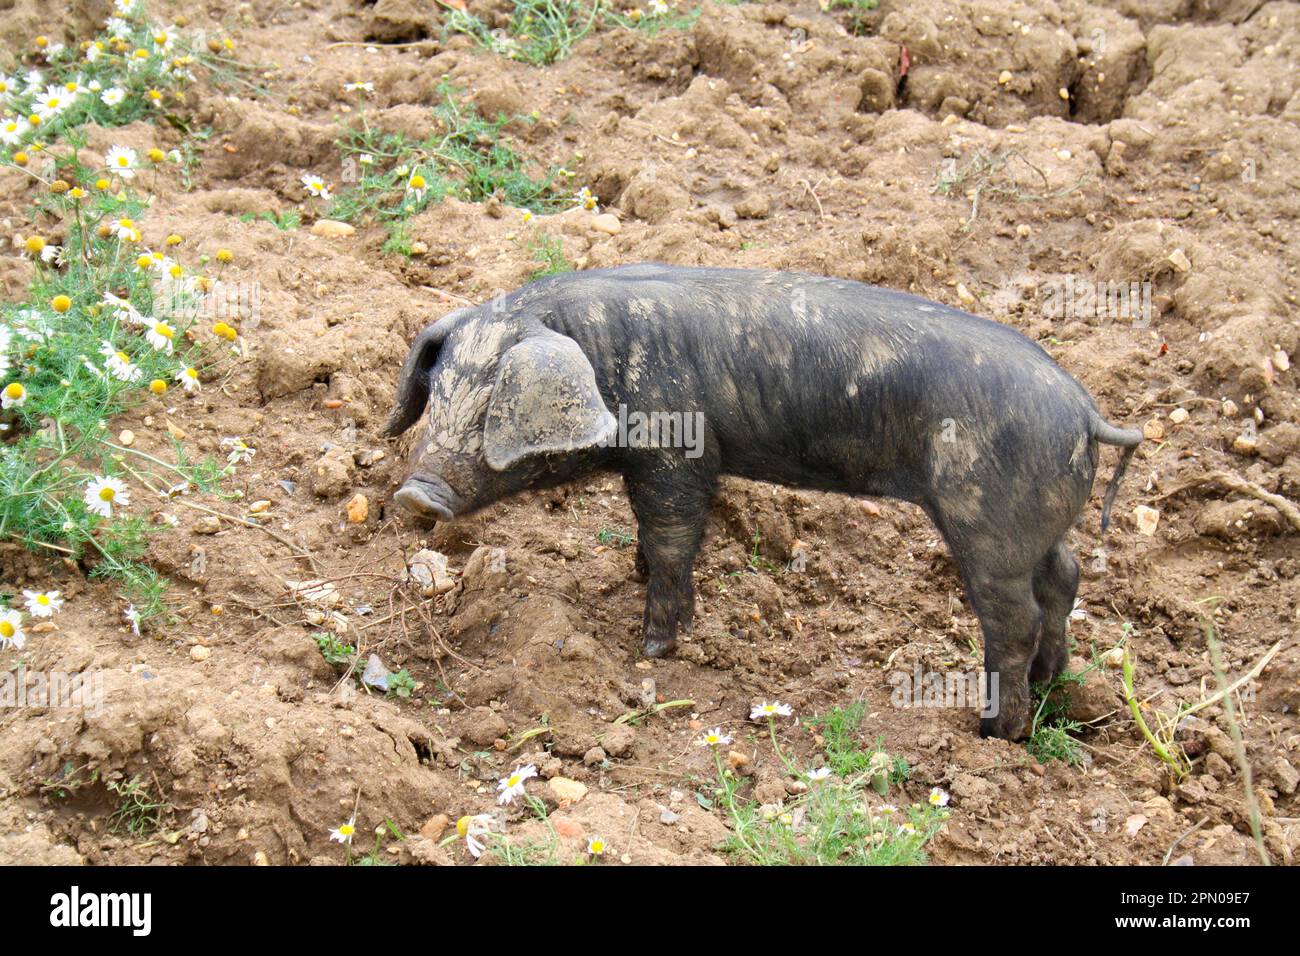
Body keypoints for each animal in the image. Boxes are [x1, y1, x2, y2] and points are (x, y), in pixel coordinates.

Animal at [383, 264, 1141, 740]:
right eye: (438, 396)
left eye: (496, 412)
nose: (416, 495)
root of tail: (1086, 414)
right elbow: (651, 536)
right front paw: (632, 581)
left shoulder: (678, 450)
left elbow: (672, 534)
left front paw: (652, 647)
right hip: (1040, 523)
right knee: (1065, 577)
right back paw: (1053, 684)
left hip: (990, 523)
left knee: (1013, 619)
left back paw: (996, 734)